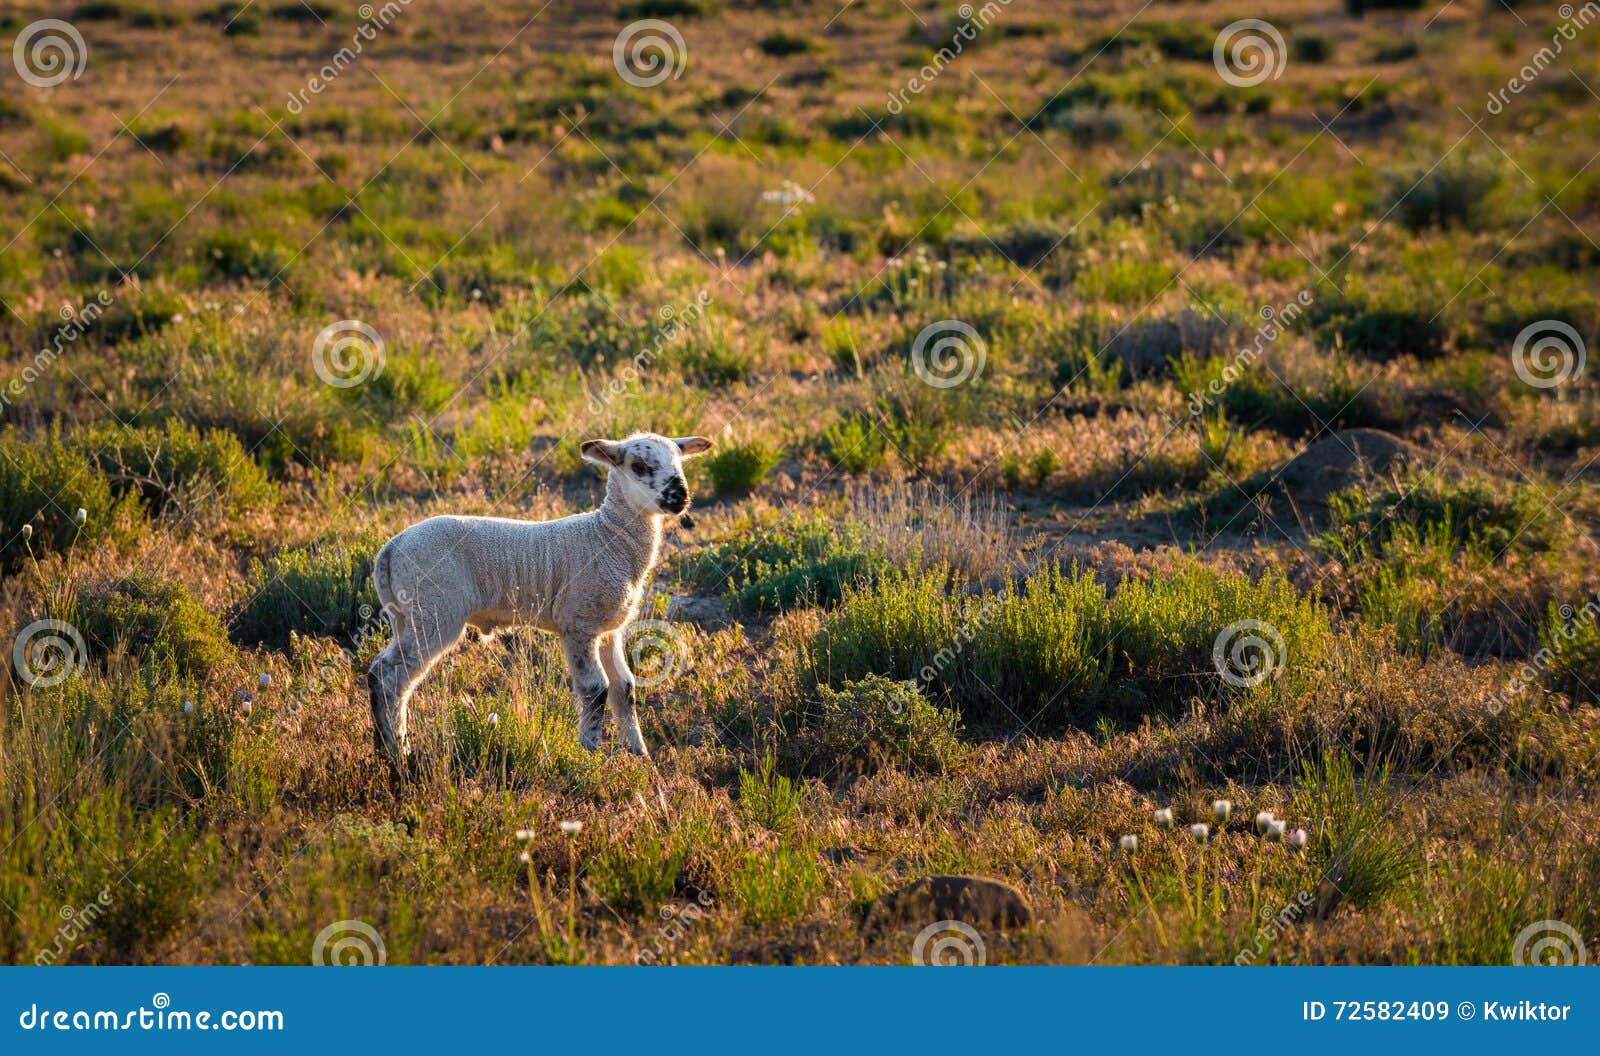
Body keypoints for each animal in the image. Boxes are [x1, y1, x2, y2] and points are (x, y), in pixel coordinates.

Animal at [365, 432, 714, 765]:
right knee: (391, 676)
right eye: (639, 467)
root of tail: (390, 549)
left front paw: (639, 755)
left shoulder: (608, 630)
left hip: (406, 615)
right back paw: (398, 752)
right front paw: (589, 756)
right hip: (435, 610)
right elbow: (595, 689)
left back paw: (386, 747)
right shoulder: (578, 622)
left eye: (680, 462)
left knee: (380, 672)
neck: (608, 537)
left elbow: (623, 688)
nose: (680, 496)